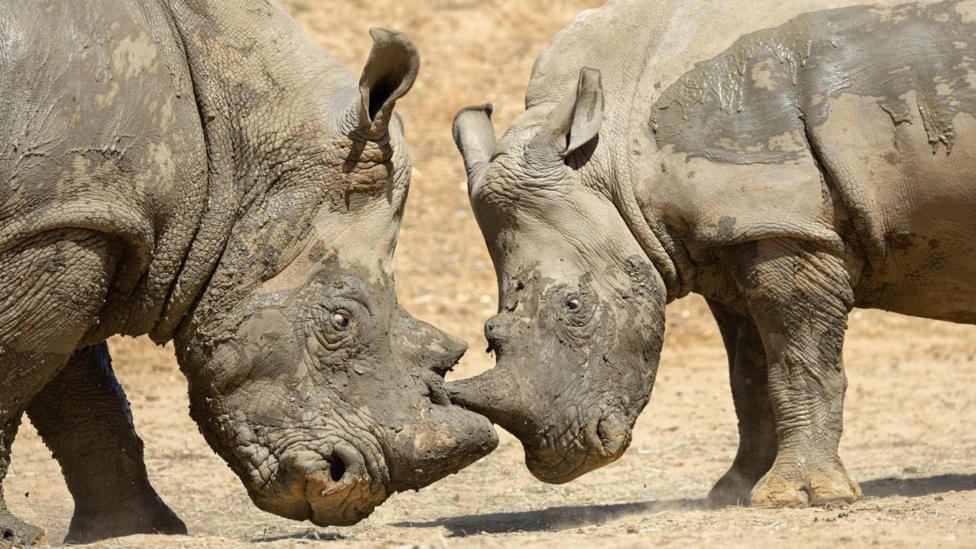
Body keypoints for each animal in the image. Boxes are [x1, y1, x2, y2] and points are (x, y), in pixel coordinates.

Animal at [0, 0, 498, 544]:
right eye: (339, 321)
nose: (348, 486)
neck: (235, 143)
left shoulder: (81, 218)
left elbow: (82, 392)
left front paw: (141, 530)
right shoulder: (57, 223)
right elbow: (18, 372)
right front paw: (16, 535)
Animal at [451, 0, 976, 509]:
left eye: (574, 306)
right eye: (489, 337)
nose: (558, 457)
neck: (611, 158)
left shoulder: (783, 224)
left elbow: (800, 365)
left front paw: (800, 497)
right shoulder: (734, 238)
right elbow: (750, 379)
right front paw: (732, 493)